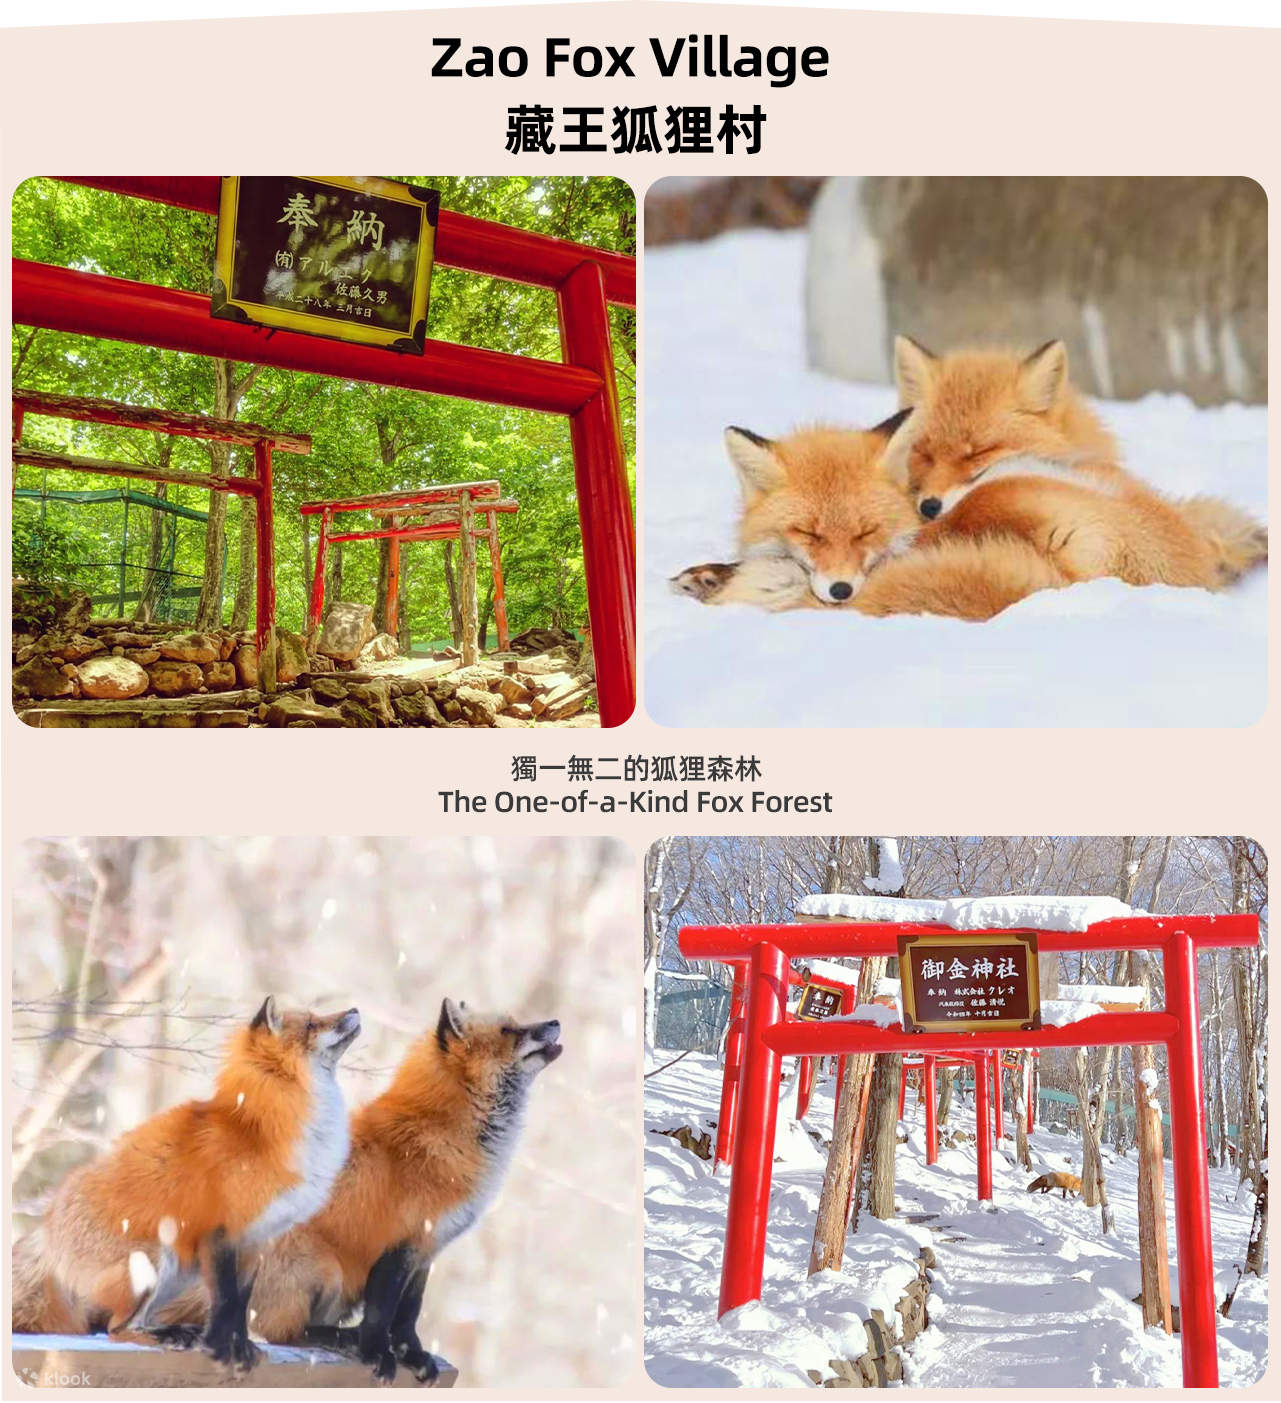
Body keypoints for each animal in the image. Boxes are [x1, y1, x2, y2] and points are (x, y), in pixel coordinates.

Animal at [11, 997, 361, 1372]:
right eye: (311, 1024)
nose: (354, 1010)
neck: (261, 1129)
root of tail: (48, 1223)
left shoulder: (256, 1239)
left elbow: (240, 1304)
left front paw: (242, 1347)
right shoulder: (221, 1233)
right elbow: (225, 1301)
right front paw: (227, 1352)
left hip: (180, 1271)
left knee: (138, 1321)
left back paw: (180, 1332)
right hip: (152, 1261)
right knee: (115, 1329)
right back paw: (167, 1337)